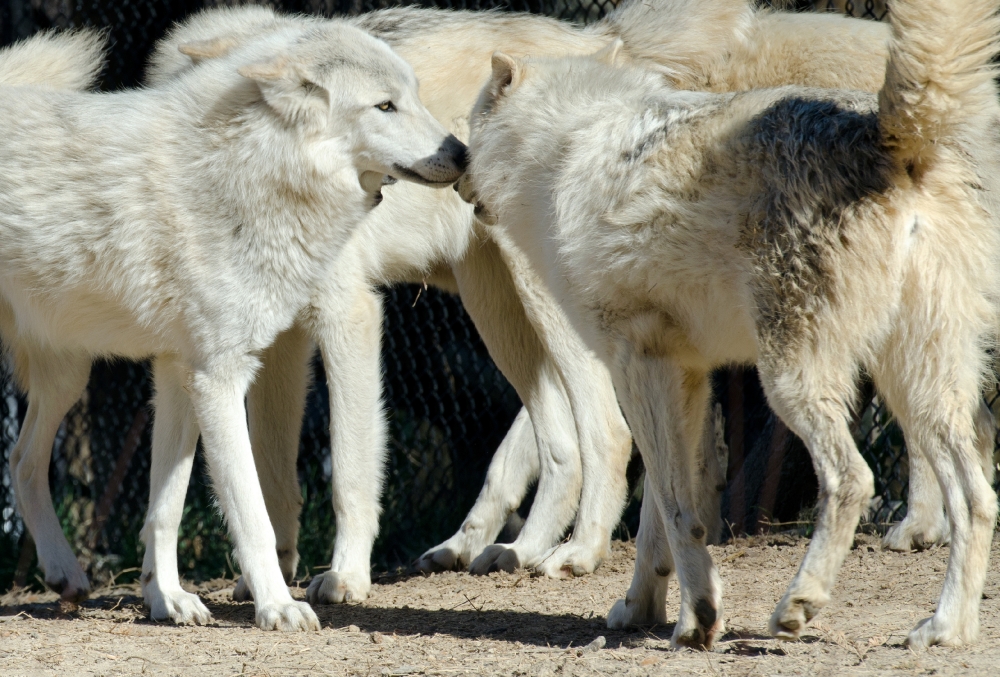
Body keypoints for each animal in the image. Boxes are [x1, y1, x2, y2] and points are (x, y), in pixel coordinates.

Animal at [1, 21, 465, 630]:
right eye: (385, 105)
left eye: (413, 96)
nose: (463, 152)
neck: (248, 167)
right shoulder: (218, 378)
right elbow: (253, 515)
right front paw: (277, 606)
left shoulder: (178, 373)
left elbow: (164, 509)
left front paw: (166, 600)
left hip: (68, 377)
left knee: (22, 463)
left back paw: (66, 575)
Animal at [462, 0, 1000, 650]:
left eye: (466, 132)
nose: (456, 175)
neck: (560, 151)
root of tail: (886, 135)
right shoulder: (686, 376)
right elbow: (659, 521)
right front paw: (640, 608)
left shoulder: (635, 366)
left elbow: (674, 508)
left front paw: (697, 618)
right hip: (916, 386)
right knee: (976, 498)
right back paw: (947, 627)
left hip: (792, 383)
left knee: (853, 479)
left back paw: (799, 603)